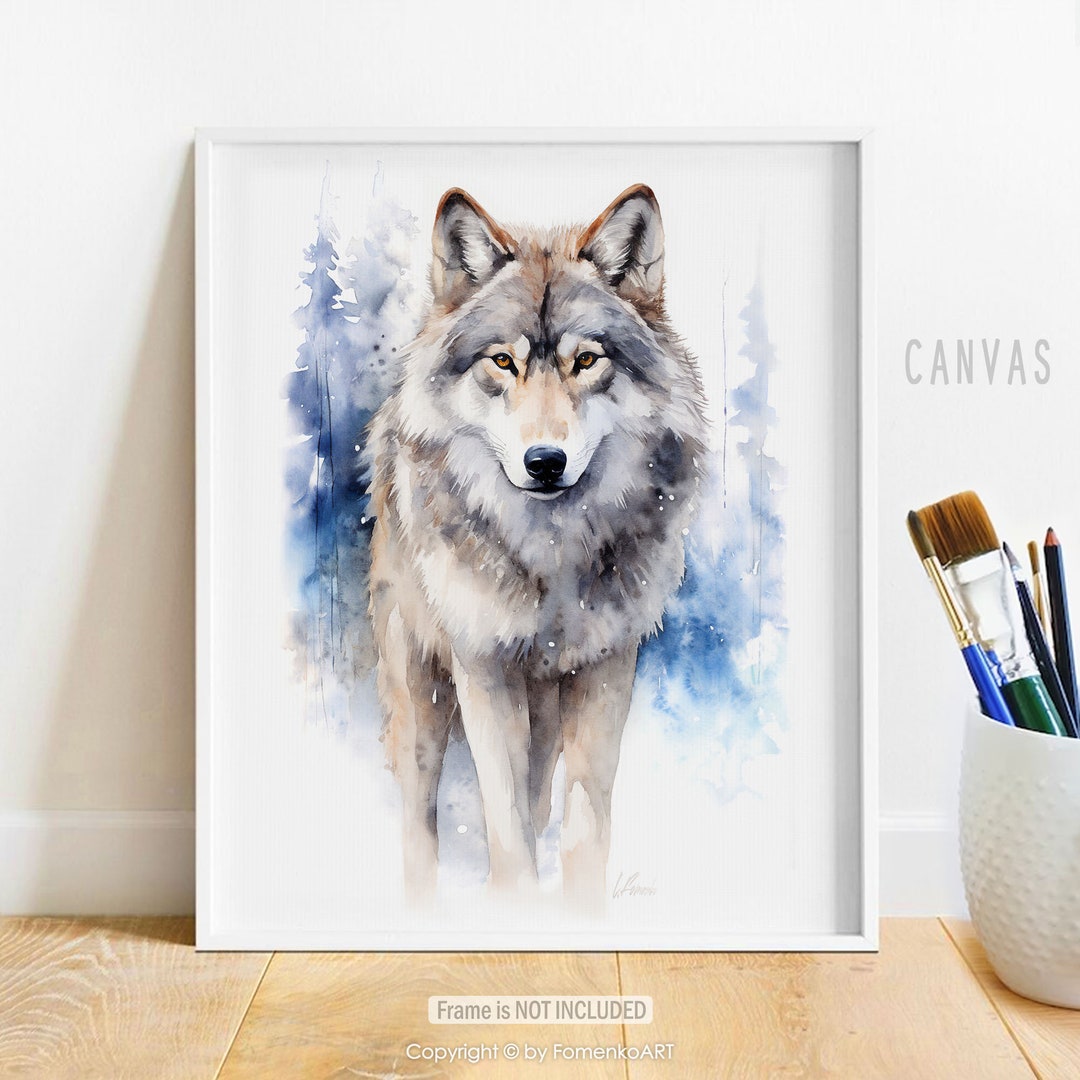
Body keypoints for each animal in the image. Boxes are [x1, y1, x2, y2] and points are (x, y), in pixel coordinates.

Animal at [366, 183, 708, 906]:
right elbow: (504, 819)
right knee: (418, 810)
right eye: (503, 361)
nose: (545, 461)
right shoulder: (483, 667)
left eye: (587, 361)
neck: (554, 559)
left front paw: (579, 912)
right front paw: (514, 902)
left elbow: (584, 821)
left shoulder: (608, 665)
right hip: (420, 684)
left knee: (541, 793)